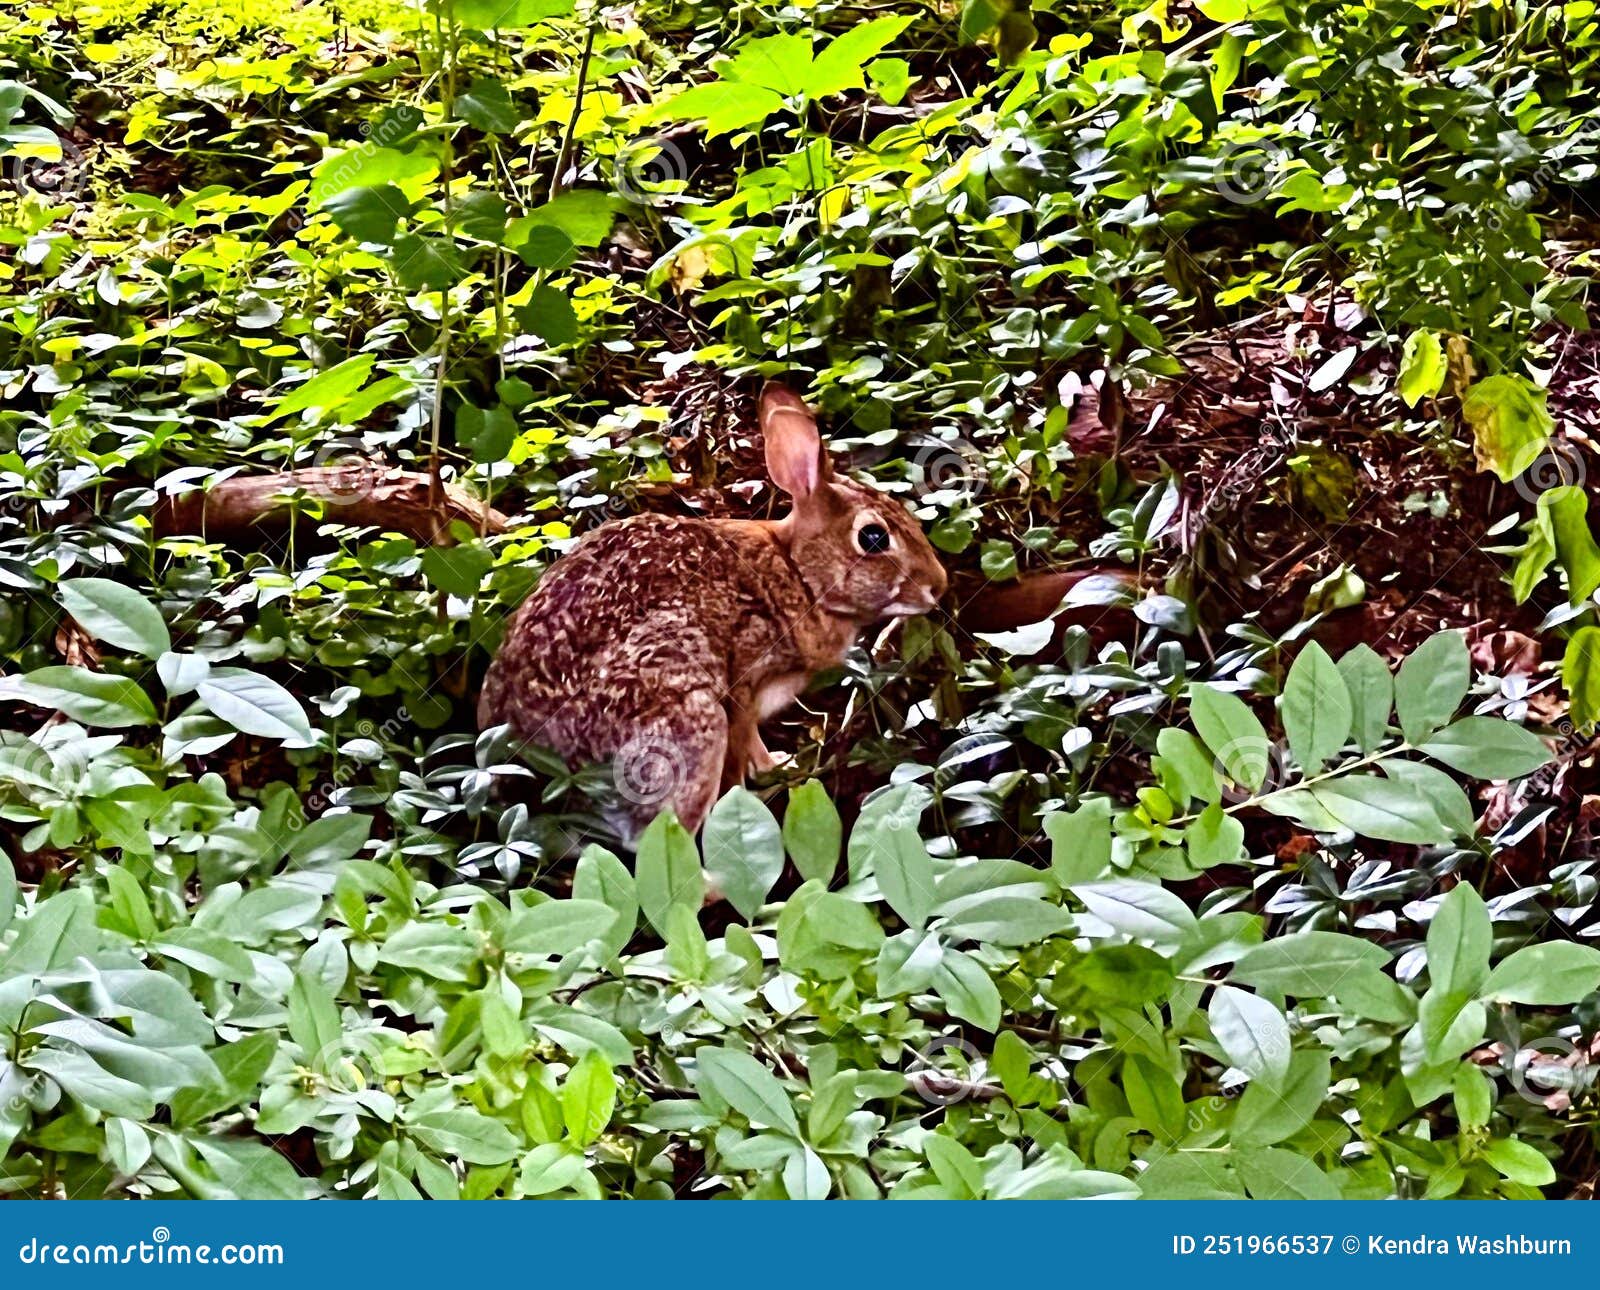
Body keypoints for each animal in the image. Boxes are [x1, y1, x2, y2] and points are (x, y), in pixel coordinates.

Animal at [478, 381, 948, 845]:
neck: (799, 573)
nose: (938, 584)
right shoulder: (743, 685)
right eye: (873, 538)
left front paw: (776, 763)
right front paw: (752, 792)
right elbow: (740, 751)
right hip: (690, 724)